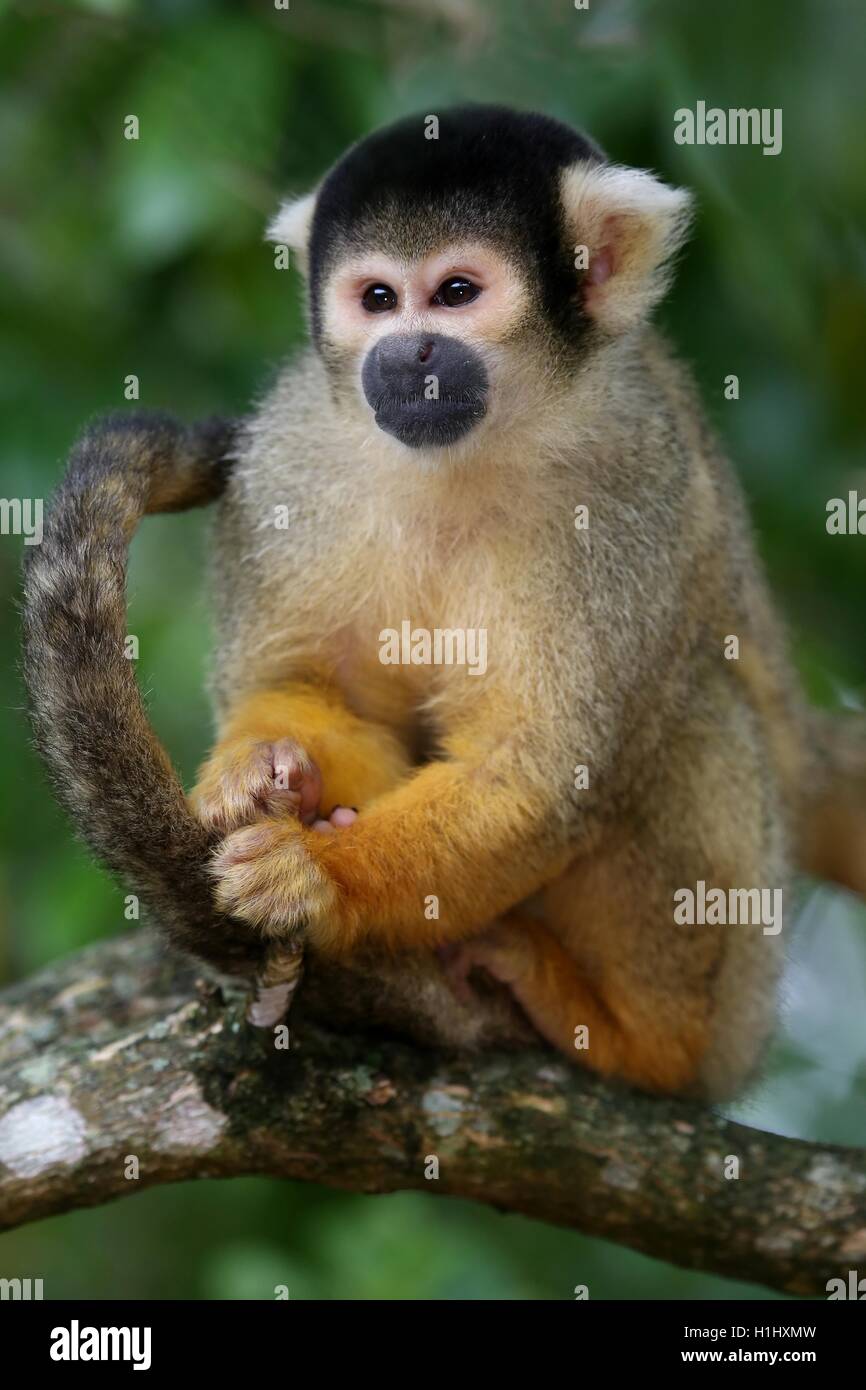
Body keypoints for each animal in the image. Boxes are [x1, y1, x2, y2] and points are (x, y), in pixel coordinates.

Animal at [22, 105, 866, 1097]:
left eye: (457, 292)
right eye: (379, 299)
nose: (408, 351)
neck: (467, 454)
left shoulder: (629, 478)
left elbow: (546, 768)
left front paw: (324, 878)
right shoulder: (293, 451)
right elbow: (320, 691)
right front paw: (263, 769)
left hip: (744, 993)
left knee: (694, 711)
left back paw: (639, 1038)